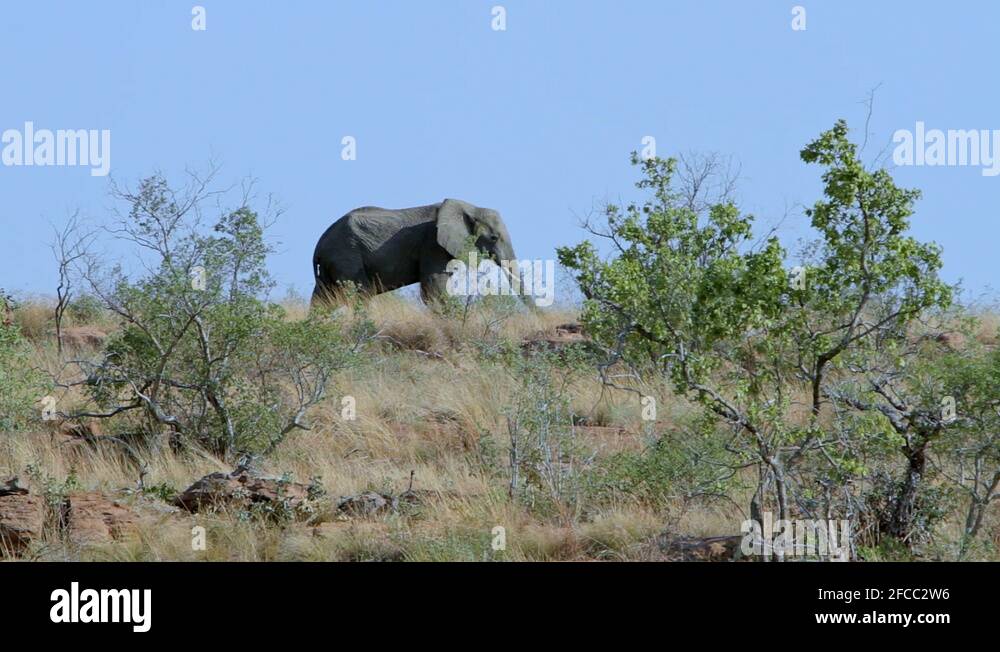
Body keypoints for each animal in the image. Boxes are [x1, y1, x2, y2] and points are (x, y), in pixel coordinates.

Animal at [311, 199, 535, 307]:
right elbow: (434, 288)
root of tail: (318, 247)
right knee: (360, 295)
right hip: (347, 257)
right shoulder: (431, 244)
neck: (470, 207)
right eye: (494, 238)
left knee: (324, 299)